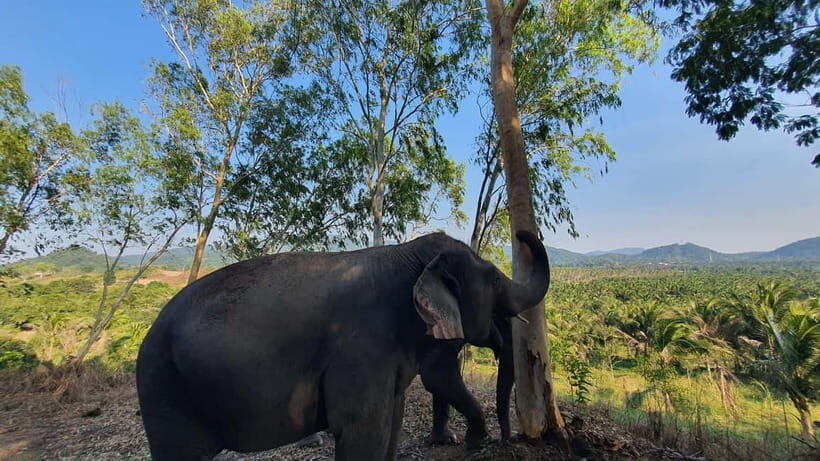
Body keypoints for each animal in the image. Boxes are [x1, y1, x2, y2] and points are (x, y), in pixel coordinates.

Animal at [136, 230, 549, 460]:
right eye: (494, 280)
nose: (508, 440)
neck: (409, 253)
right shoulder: (361, 348)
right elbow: (363, 427)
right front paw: (475, 443)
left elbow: (392, 422)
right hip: (165, 394)